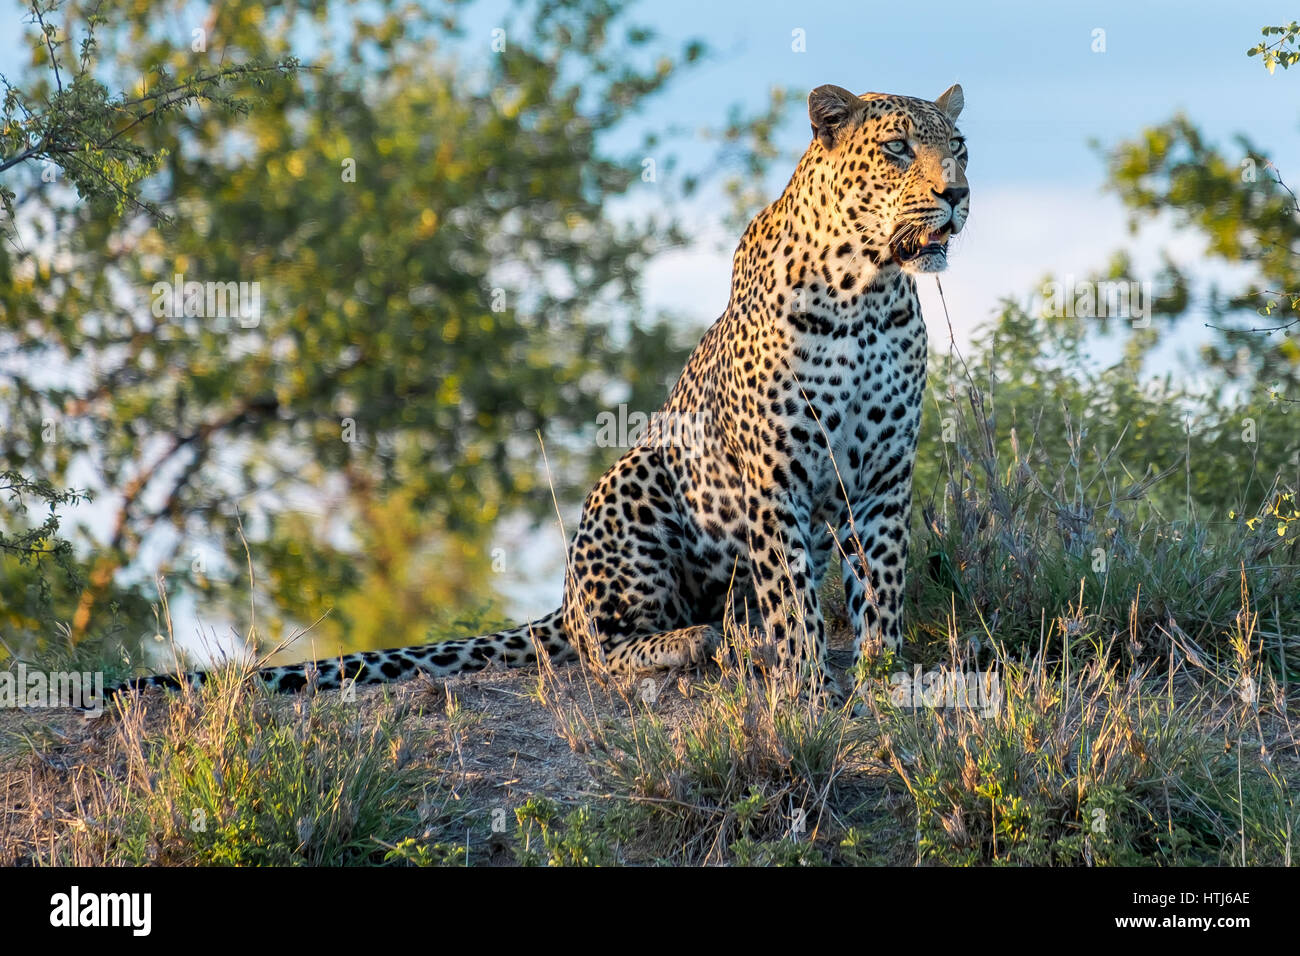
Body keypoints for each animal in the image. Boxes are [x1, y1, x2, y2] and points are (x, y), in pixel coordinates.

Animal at [109, 82, 970, 709]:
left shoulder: (883, 474)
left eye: (958, 147)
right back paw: (698, 643)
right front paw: (804, 684)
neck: (866, 289)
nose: (958, 194)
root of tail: (563, 599)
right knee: (601, 645)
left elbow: (883, 582)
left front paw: (882, 674)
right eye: (897, 149)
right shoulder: (774, 469)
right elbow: (793, 594)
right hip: (639, 477)